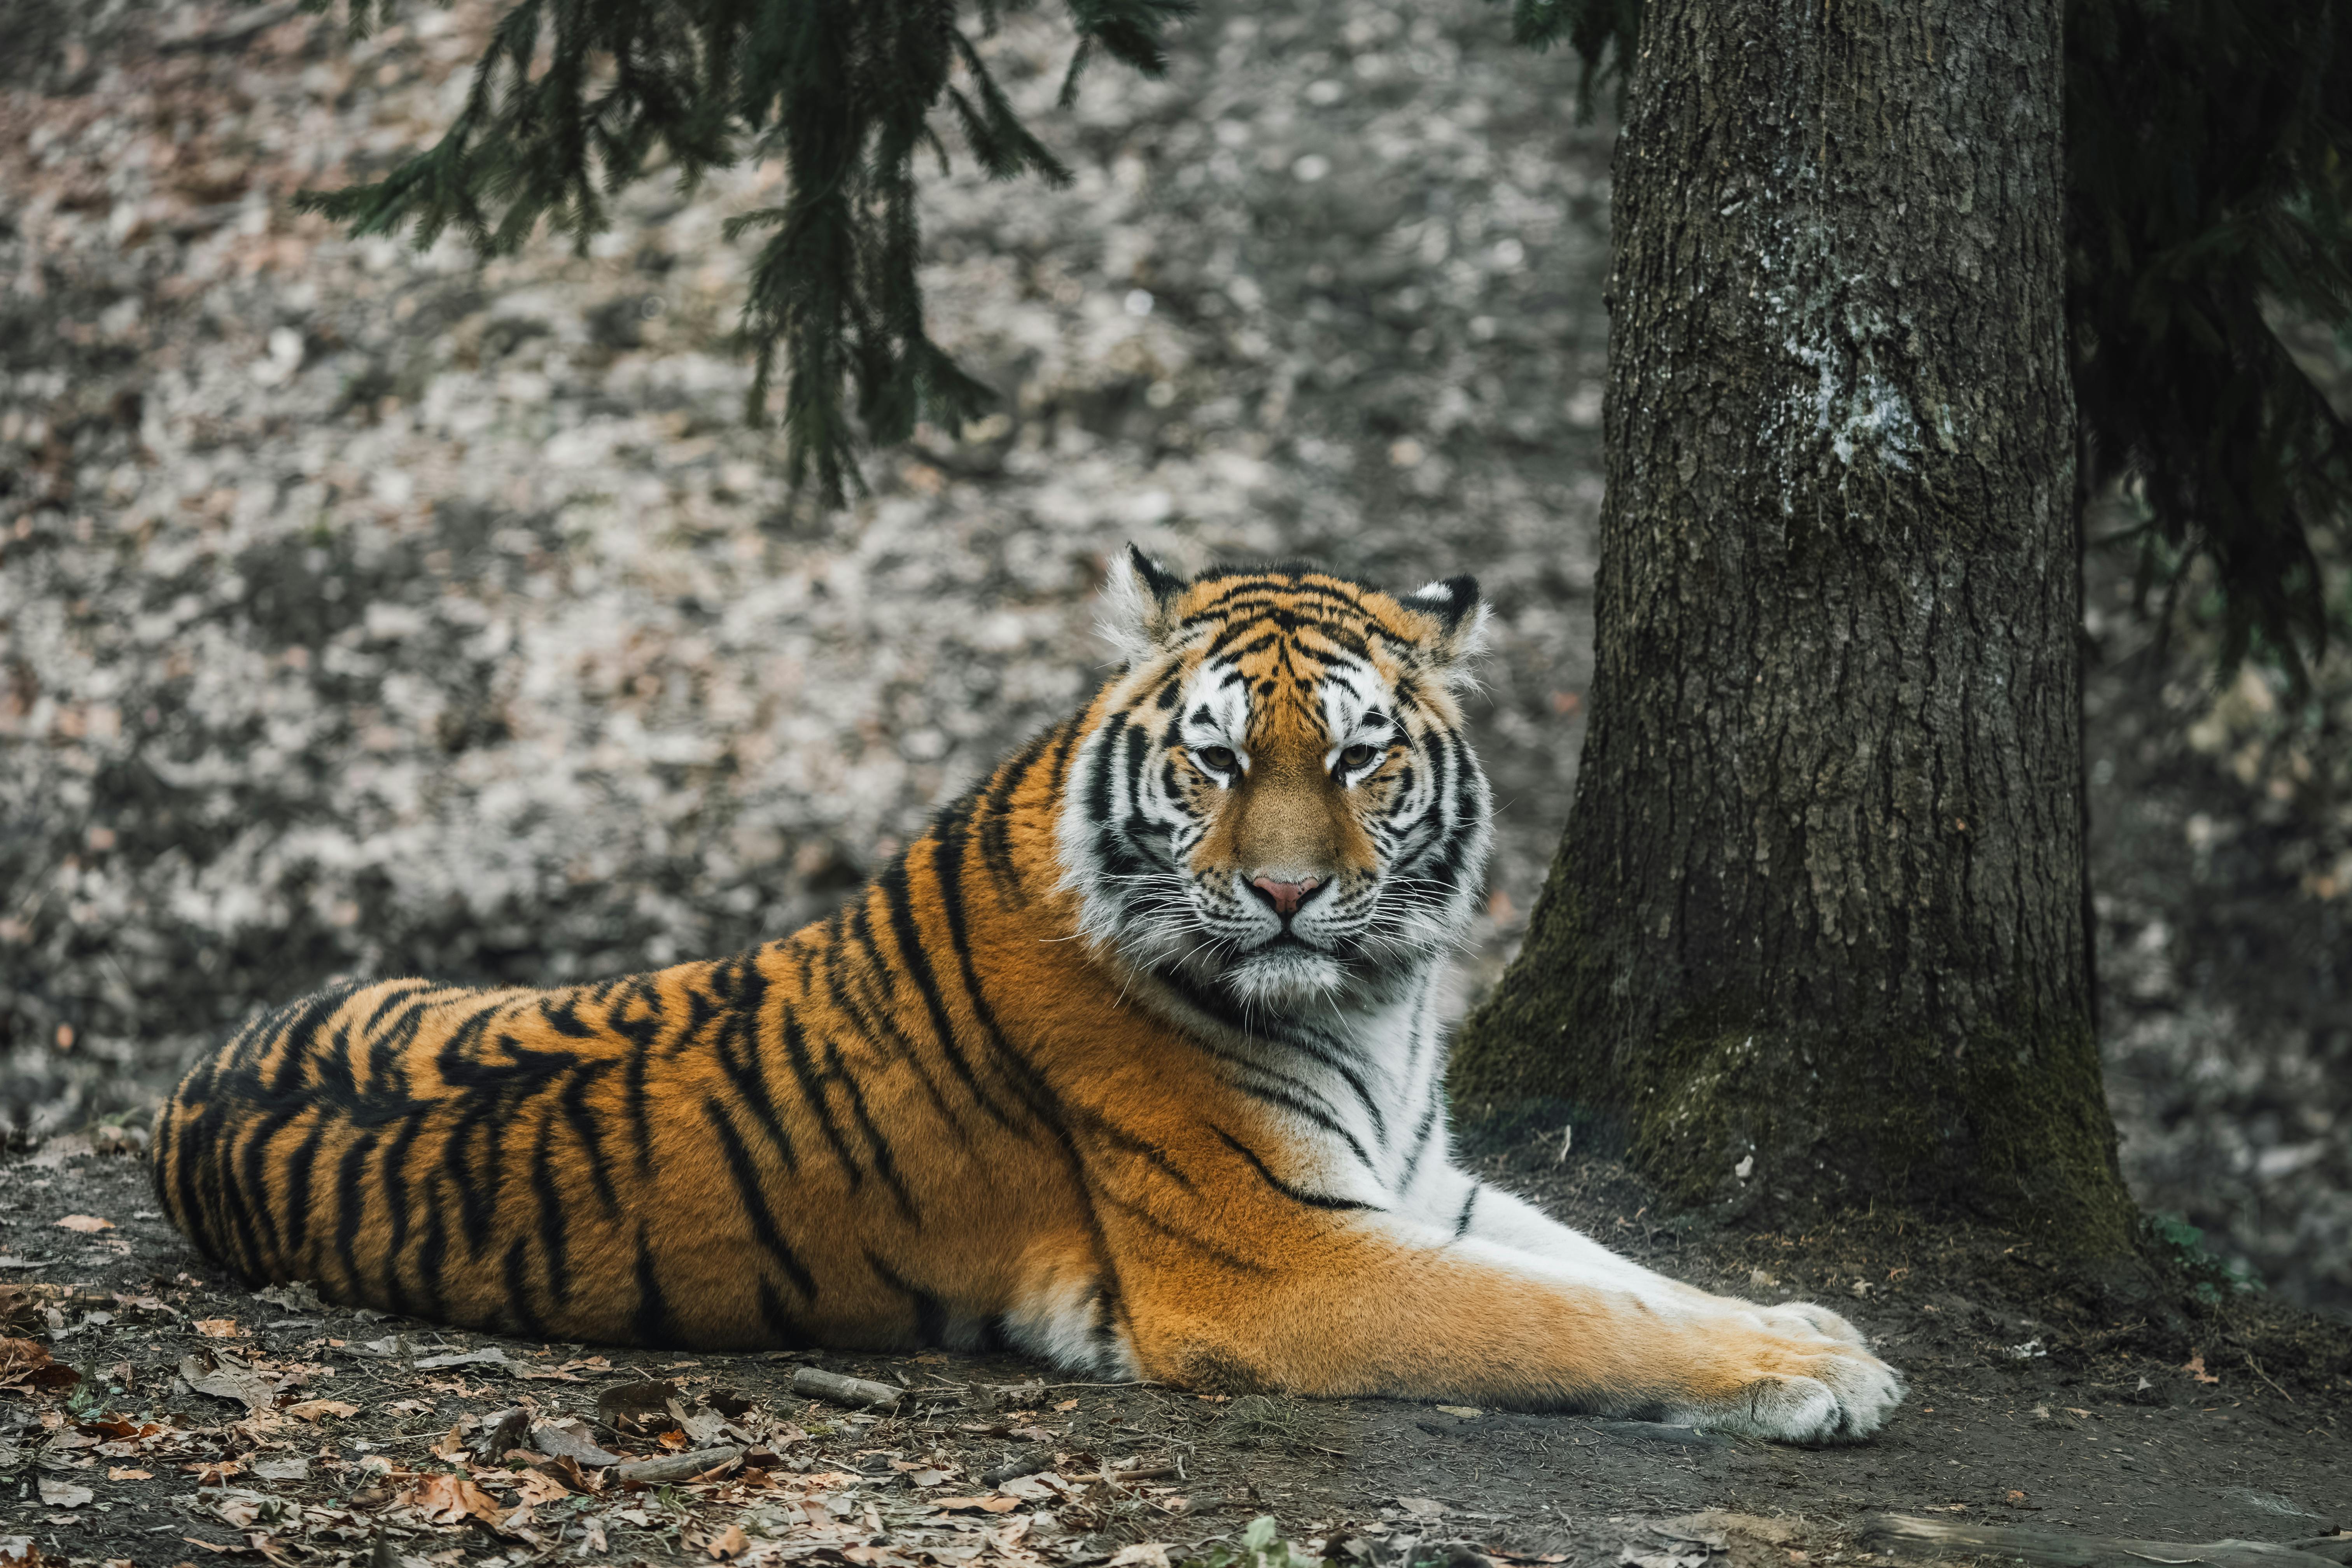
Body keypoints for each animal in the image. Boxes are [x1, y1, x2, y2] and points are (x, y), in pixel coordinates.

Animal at [154, 550, 1903, 1443]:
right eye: (1216, 759)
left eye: (1356, 755)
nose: (1288, 894)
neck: (1371, 1003)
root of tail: (193, 1071)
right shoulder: (1273, 1263)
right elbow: (1558, 1317)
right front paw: (1815, 1376)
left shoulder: (1414, 1179)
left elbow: (1605, 1266)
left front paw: (1802, 1324)